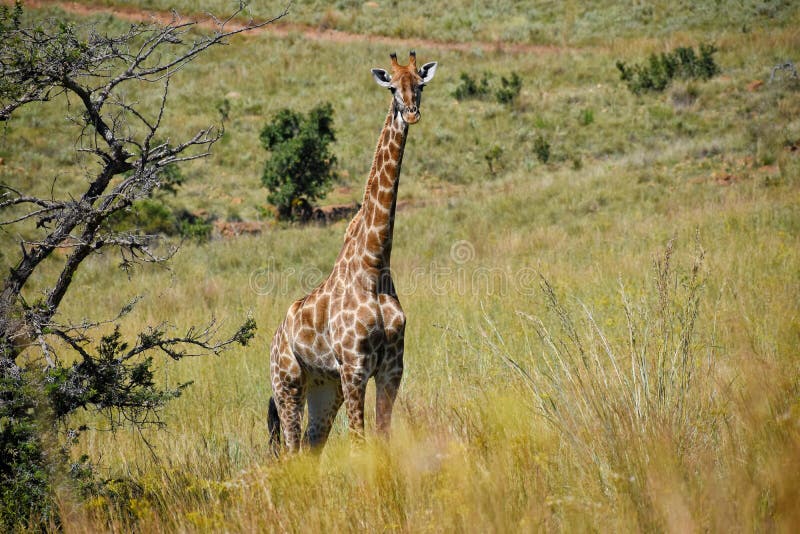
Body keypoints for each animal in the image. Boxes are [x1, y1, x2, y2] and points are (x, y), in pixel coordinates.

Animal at [267, 51, 437, 453]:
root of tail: (274, 341)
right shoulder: (354, 367)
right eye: (392, 87)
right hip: (288, 385)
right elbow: (361, 442)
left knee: (311, 446)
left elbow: (382, 436)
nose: (411, 114)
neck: (374, 264)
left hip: (324, 388)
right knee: (291, 450)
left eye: (420, 85)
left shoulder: (392, 367)